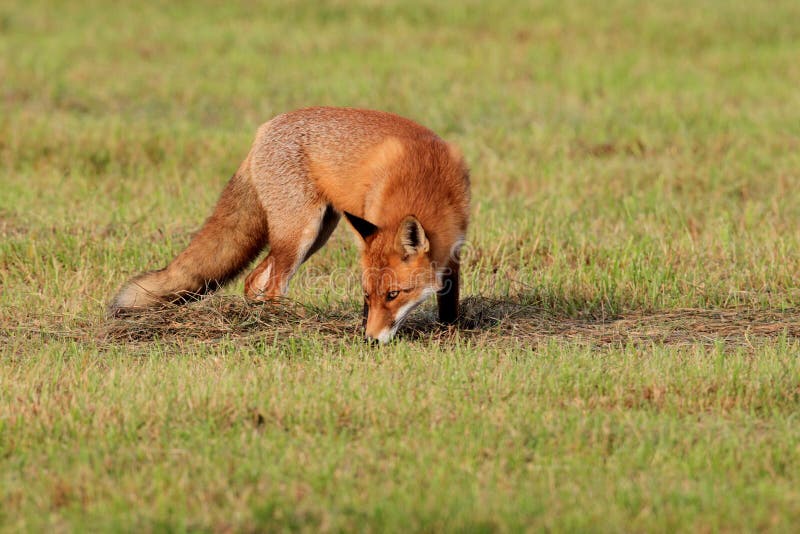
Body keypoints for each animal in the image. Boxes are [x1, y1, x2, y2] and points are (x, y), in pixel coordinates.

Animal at [109, 107, 470, 343]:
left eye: (394, 294)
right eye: (367, 295)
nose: (369, 341)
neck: (425, 180)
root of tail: (264, 130)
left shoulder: (454, 248)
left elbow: (449, 298)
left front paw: (451, 331)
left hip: (317, 233)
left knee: (252, 281)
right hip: (300, 235)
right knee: (271, 286)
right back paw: (277, 325)